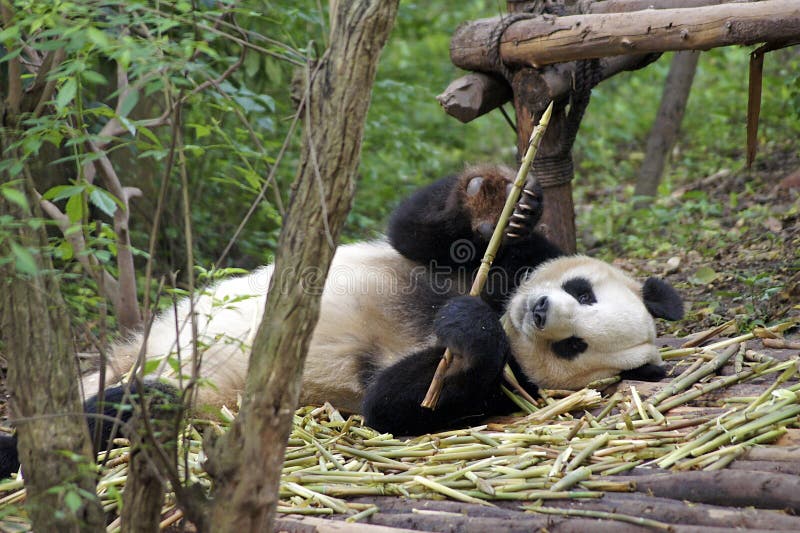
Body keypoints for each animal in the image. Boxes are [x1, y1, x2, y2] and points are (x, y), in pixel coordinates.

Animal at [0, 164, 683, 478]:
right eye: (581, 292)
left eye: (573, 345)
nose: (539, 312)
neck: (501, 307)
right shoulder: (499, 267)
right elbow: (415, 232)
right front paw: (496, 202)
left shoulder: (508, 389)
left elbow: (391, 406)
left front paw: (466, 333)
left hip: (179, 392)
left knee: (127, 409)